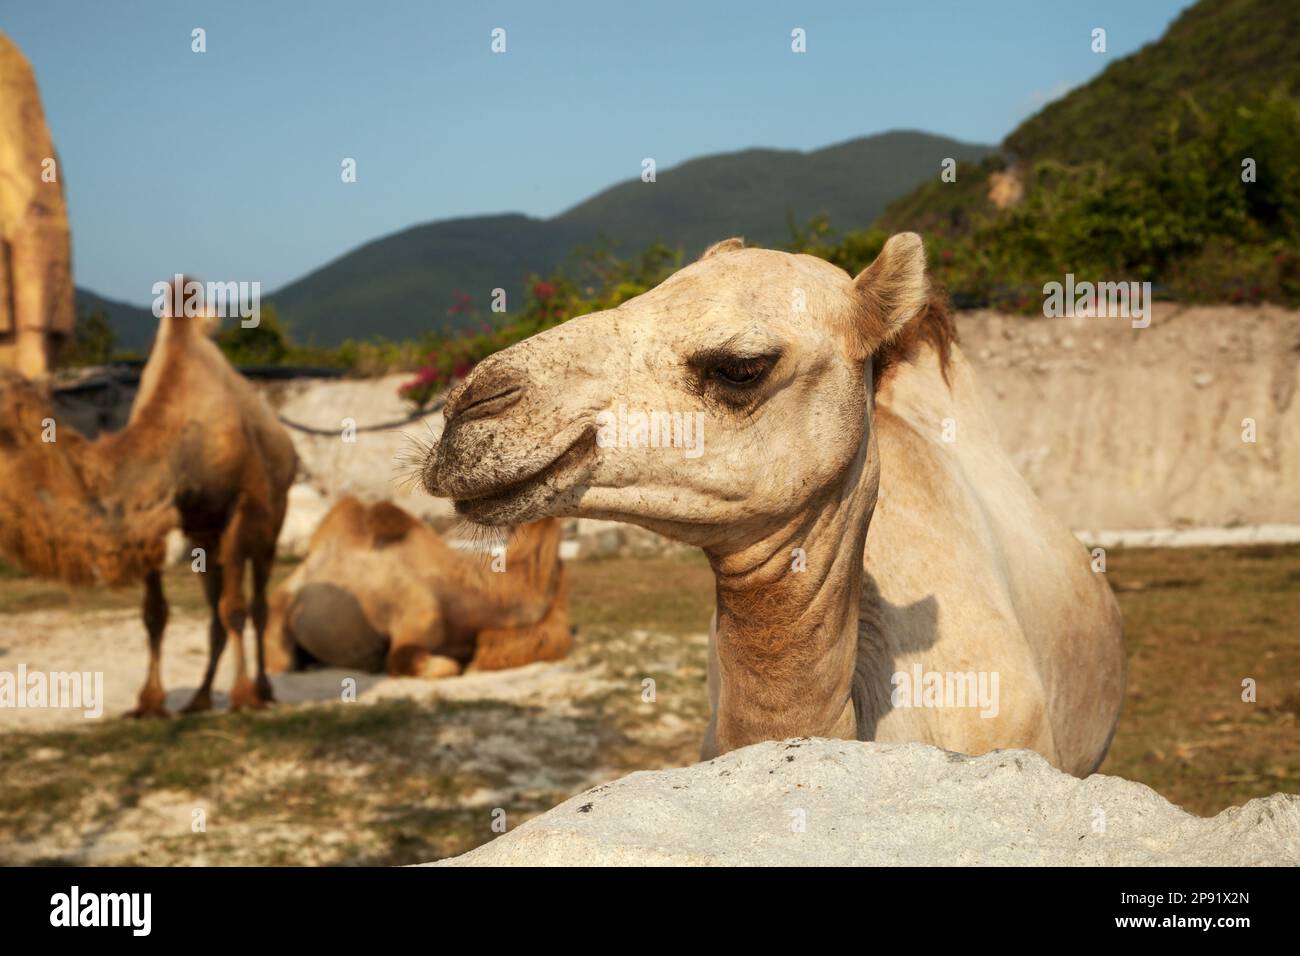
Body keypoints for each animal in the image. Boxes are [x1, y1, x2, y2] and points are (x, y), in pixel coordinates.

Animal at [0, 280, 298, 715]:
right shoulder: (151, 520)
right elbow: (154, 614)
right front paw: (149, 702)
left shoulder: (241, 508)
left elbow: (237, 608)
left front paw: (243, 697)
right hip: (203, 536)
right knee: (213, 608)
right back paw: (200, 697)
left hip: (272, 521)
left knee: (257, 603)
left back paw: (263, 689)